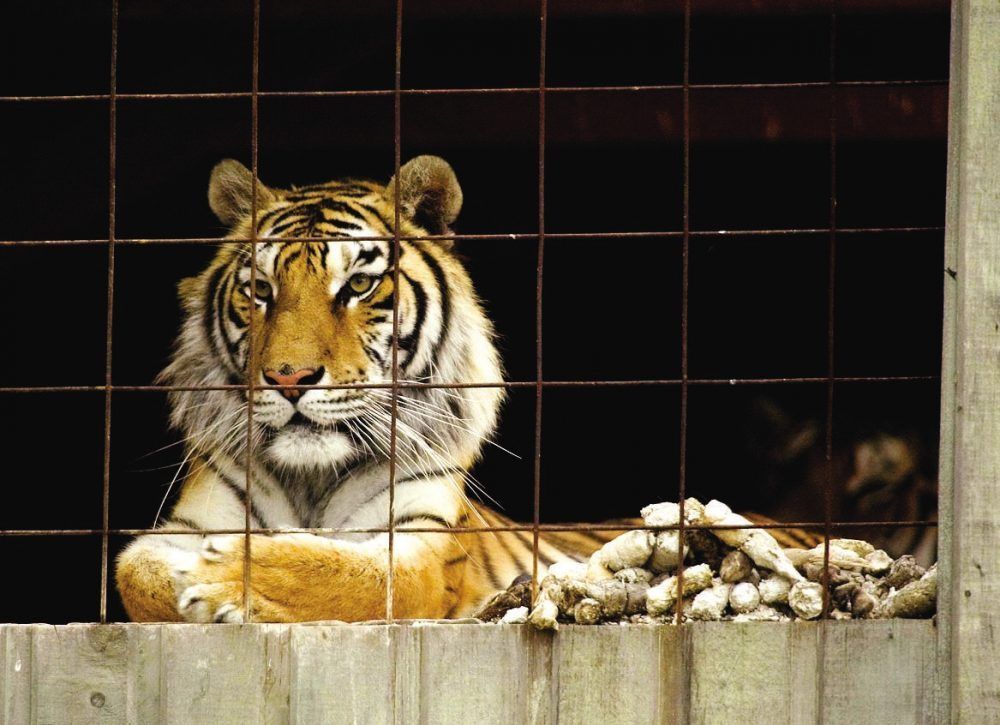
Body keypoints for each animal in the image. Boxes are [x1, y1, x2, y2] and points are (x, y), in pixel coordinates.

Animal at [115, 156, 611, 623]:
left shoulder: (423, 541)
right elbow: (134, 573)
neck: (312, 481)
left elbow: (351, 576)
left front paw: (221, 576)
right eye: (261, 289)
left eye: (358, 284)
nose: (289, 379)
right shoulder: (185, 525)